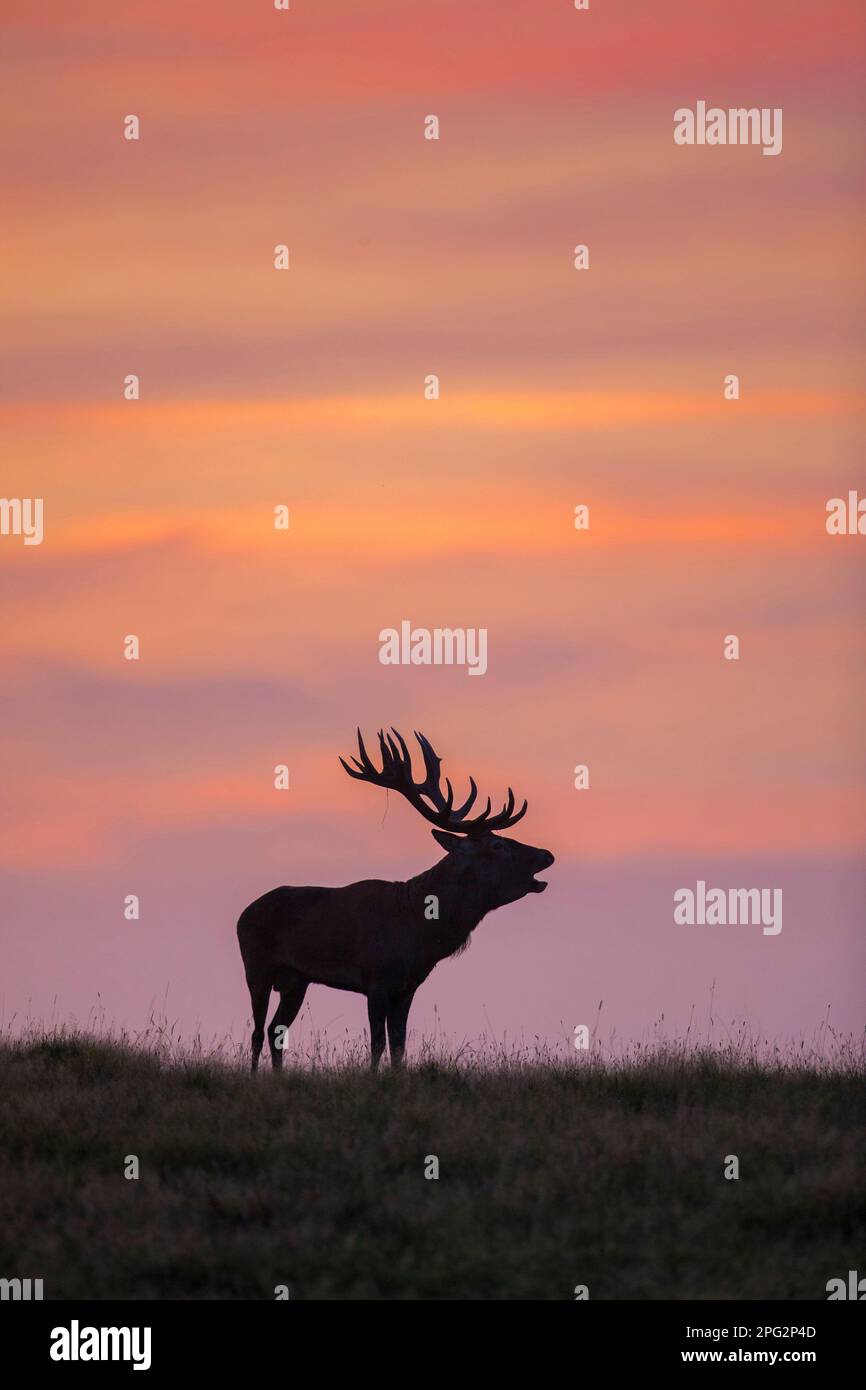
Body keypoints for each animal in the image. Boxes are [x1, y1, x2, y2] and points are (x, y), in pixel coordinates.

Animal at [237, 729, 554, 1071]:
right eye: (497, 845)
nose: (546, 854)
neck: (419, 932)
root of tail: (242, 914)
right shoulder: (375, 978)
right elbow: (377, 1043)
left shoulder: (407, 987)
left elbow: (399, 1047)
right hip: (257, 967)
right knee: (258, 1031)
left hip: (296, 980)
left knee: (275, 1030)